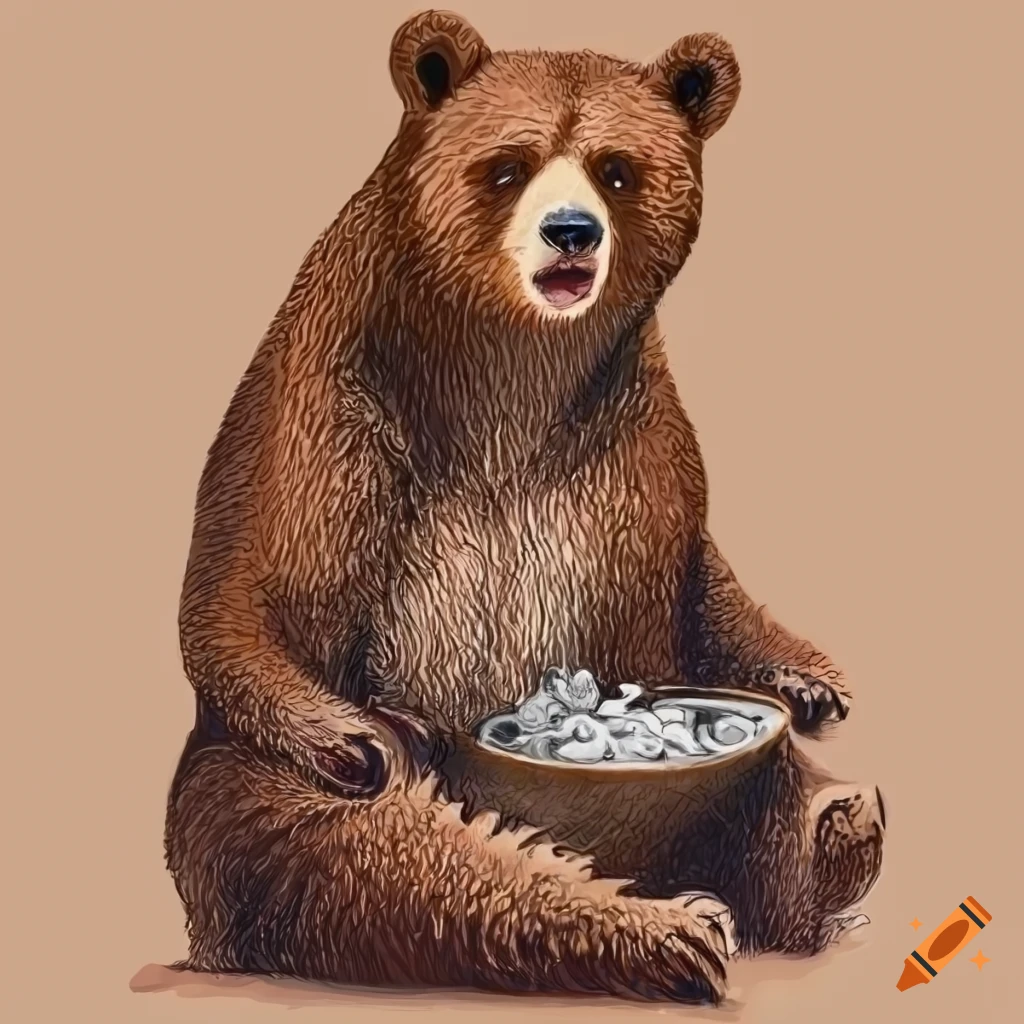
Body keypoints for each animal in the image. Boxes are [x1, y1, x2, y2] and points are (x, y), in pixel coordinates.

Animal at [164, 10, 884, 1006]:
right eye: (508, 163)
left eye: (617, 167)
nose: (571, 233)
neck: (508, 377)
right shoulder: (333, 411)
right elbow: (249, 603)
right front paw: (357, 734)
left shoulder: (625, 449)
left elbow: (692, 587)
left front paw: (810, 682)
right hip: (255, 797)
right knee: (367, 849)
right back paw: (669, 923)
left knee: (774, 789)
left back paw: (828, 836)